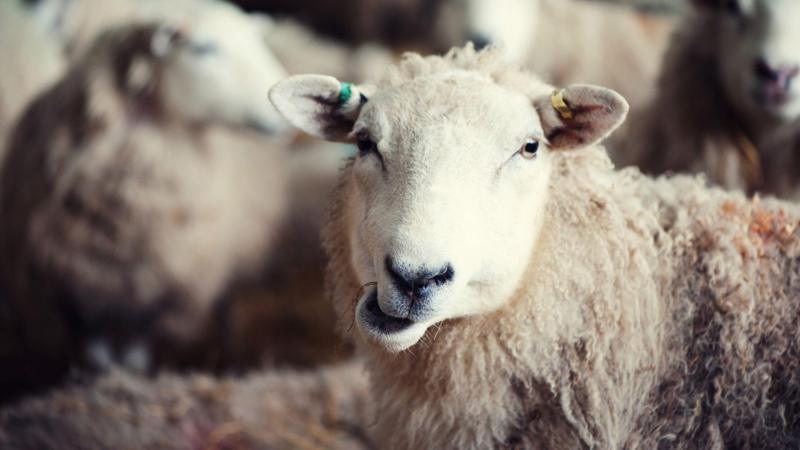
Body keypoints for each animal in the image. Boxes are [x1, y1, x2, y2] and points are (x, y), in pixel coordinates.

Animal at [0, 20, 294, 401]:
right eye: (204, 48)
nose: (281, 110)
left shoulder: (159, 287)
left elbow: (135, 354)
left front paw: (130, 381)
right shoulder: (73, 285)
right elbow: (96, 356)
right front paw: (98, 385)